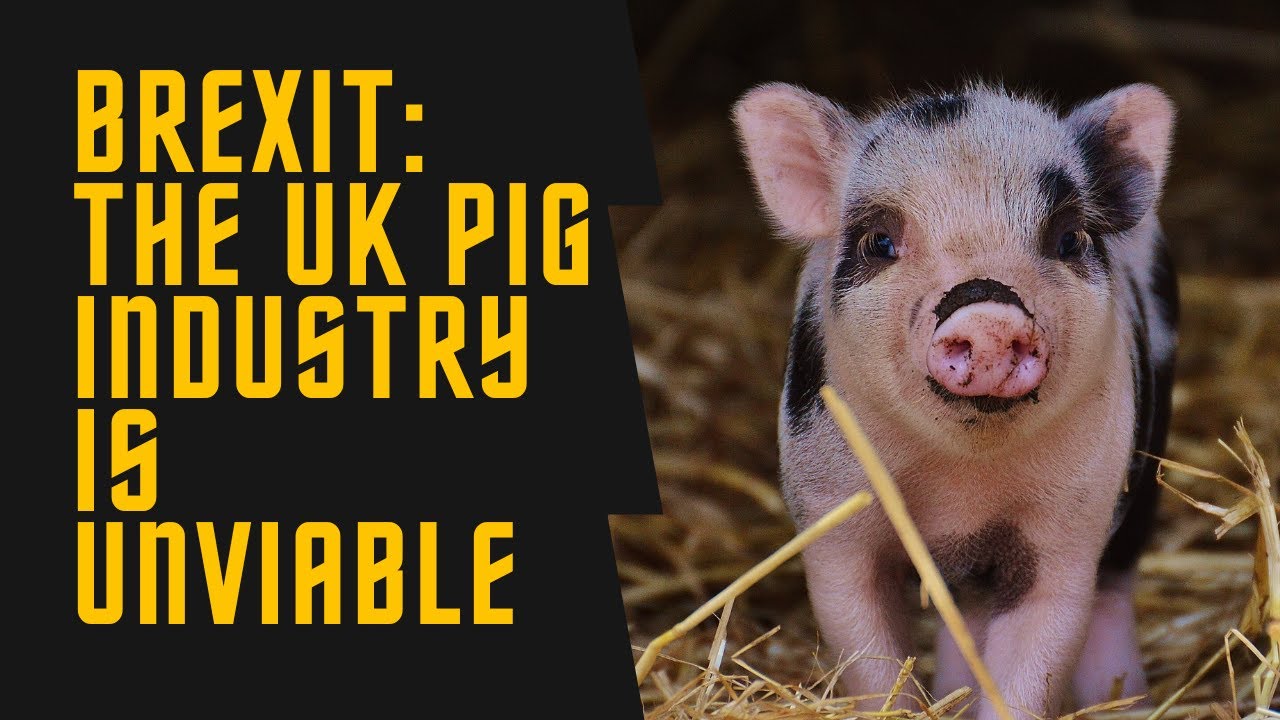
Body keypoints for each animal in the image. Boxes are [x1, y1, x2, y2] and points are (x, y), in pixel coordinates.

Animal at [731, 81, 1177, 719]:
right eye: (879, 241)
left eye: (1069, 238)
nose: (988, 311)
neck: (961, 486)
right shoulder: (832, 515)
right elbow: (866, 652)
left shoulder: (1069, 528)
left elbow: (1036, 655)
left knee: (1112, 592)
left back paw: (1125, 701)